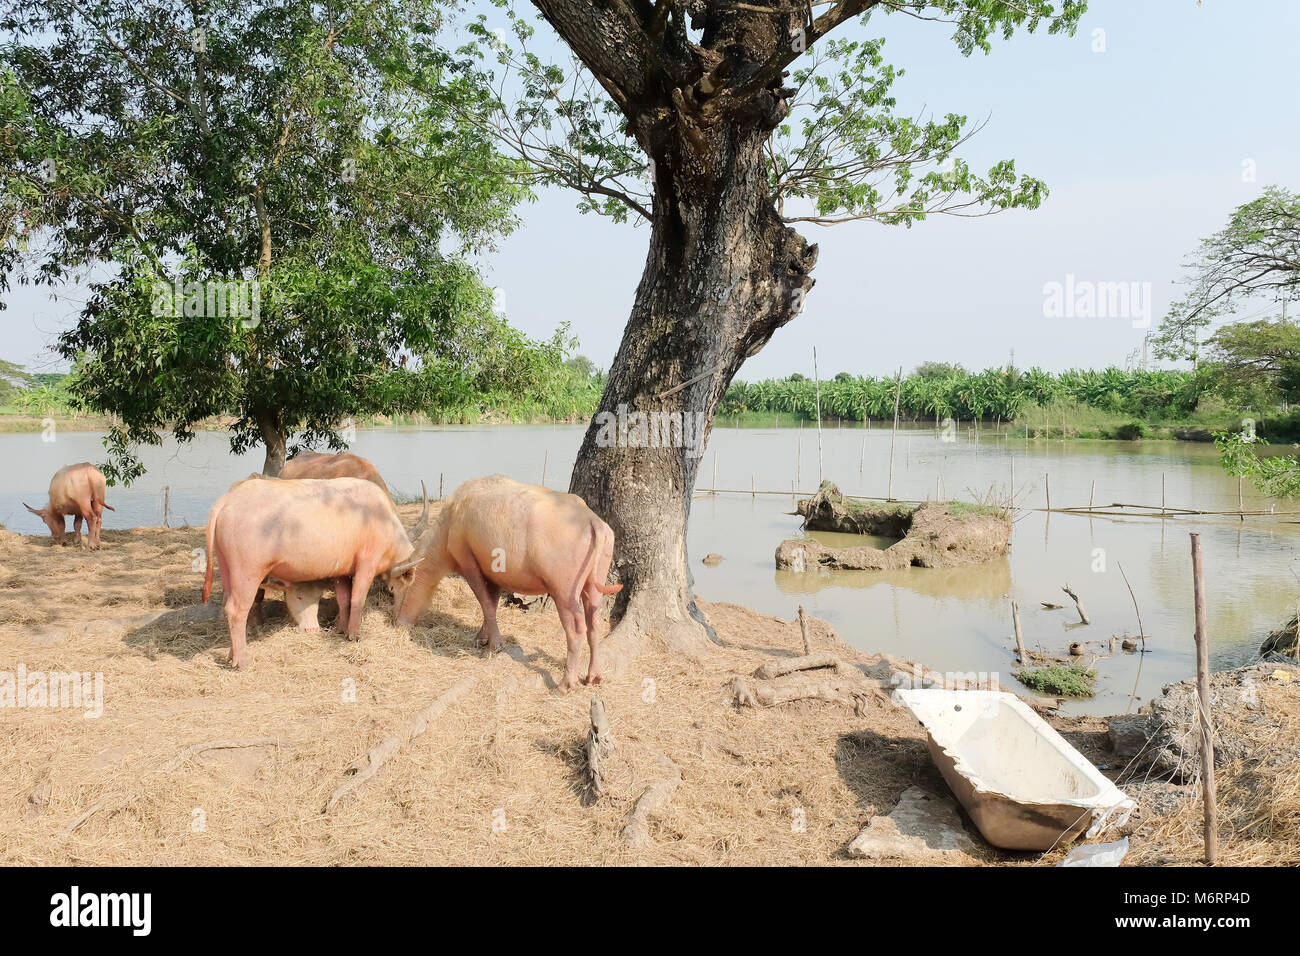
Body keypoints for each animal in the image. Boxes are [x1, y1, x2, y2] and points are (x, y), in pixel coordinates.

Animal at [201, 476, 428, 669]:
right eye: (395, 588)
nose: (399, 620)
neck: (381, 520)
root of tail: (228, 500)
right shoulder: (366, 565)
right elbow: (357, 599)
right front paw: (354, 635)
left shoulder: (341, 571)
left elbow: (344, 599)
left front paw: (341, 629)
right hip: (247, 573)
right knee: (236, 610)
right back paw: (242, 661)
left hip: (227, 569)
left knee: (226, 605)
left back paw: (231, 656)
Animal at [390, 475, 621, 693]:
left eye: (392, 589)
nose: (397, 623)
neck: (452, 520)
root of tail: (590, 519)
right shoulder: (494, 574)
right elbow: (491, 604)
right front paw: (482, 637)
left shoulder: (469, 564)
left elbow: (485, 603)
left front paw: (494, 645)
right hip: (593, 585)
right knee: (594, 623)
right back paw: (593, 676)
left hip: (563, 592)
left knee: (577, 629)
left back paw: (565, 684)